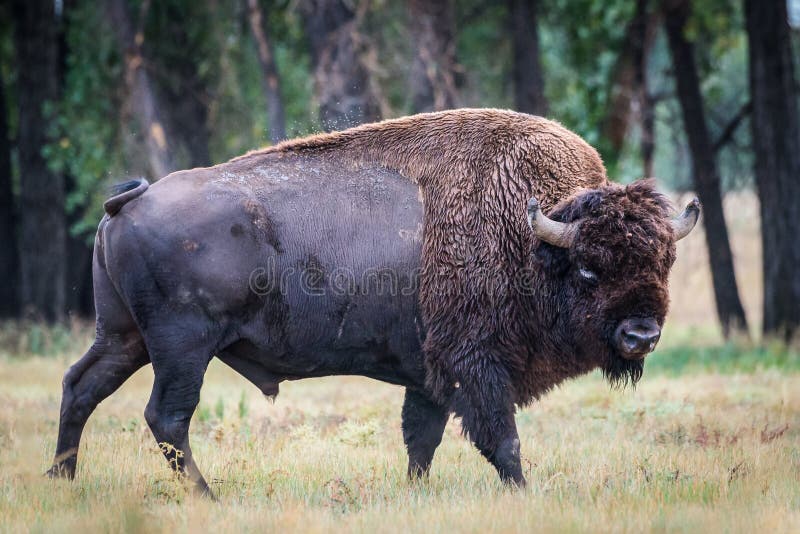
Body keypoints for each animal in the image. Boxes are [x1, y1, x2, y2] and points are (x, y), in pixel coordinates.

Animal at [46, 109, 699, 497]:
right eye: (590, 268)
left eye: (663, 262)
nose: (642, 335)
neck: (533, 237)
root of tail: (133, 200)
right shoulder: (477, 368)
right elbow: (501, 437)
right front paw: (522, 492)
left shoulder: (432, 374)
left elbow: (422, 439)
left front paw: (415, 493)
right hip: (182, 347)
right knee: (167, 417)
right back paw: (205, 496)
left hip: (125, 337)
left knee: (82, 387)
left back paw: (62, 480)